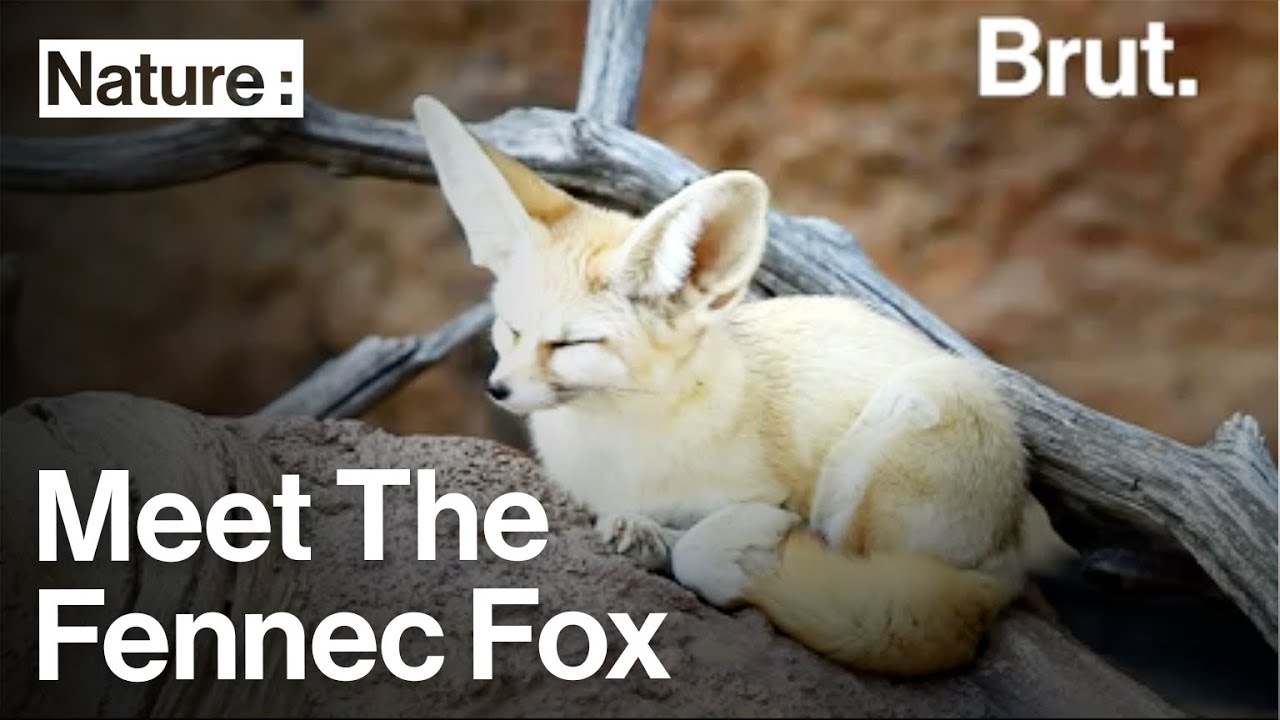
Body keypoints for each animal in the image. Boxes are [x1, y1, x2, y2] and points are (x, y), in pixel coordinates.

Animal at [411, 95, 1076, 677]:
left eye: (572, 345)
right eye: (512, 329)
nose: (497, 390)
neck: (622, 442)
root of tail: (1010, 540)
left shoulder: (765, 492)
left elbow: (708, 544)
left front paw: (711, 545)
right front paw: (642, 531)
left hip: (899, 420)